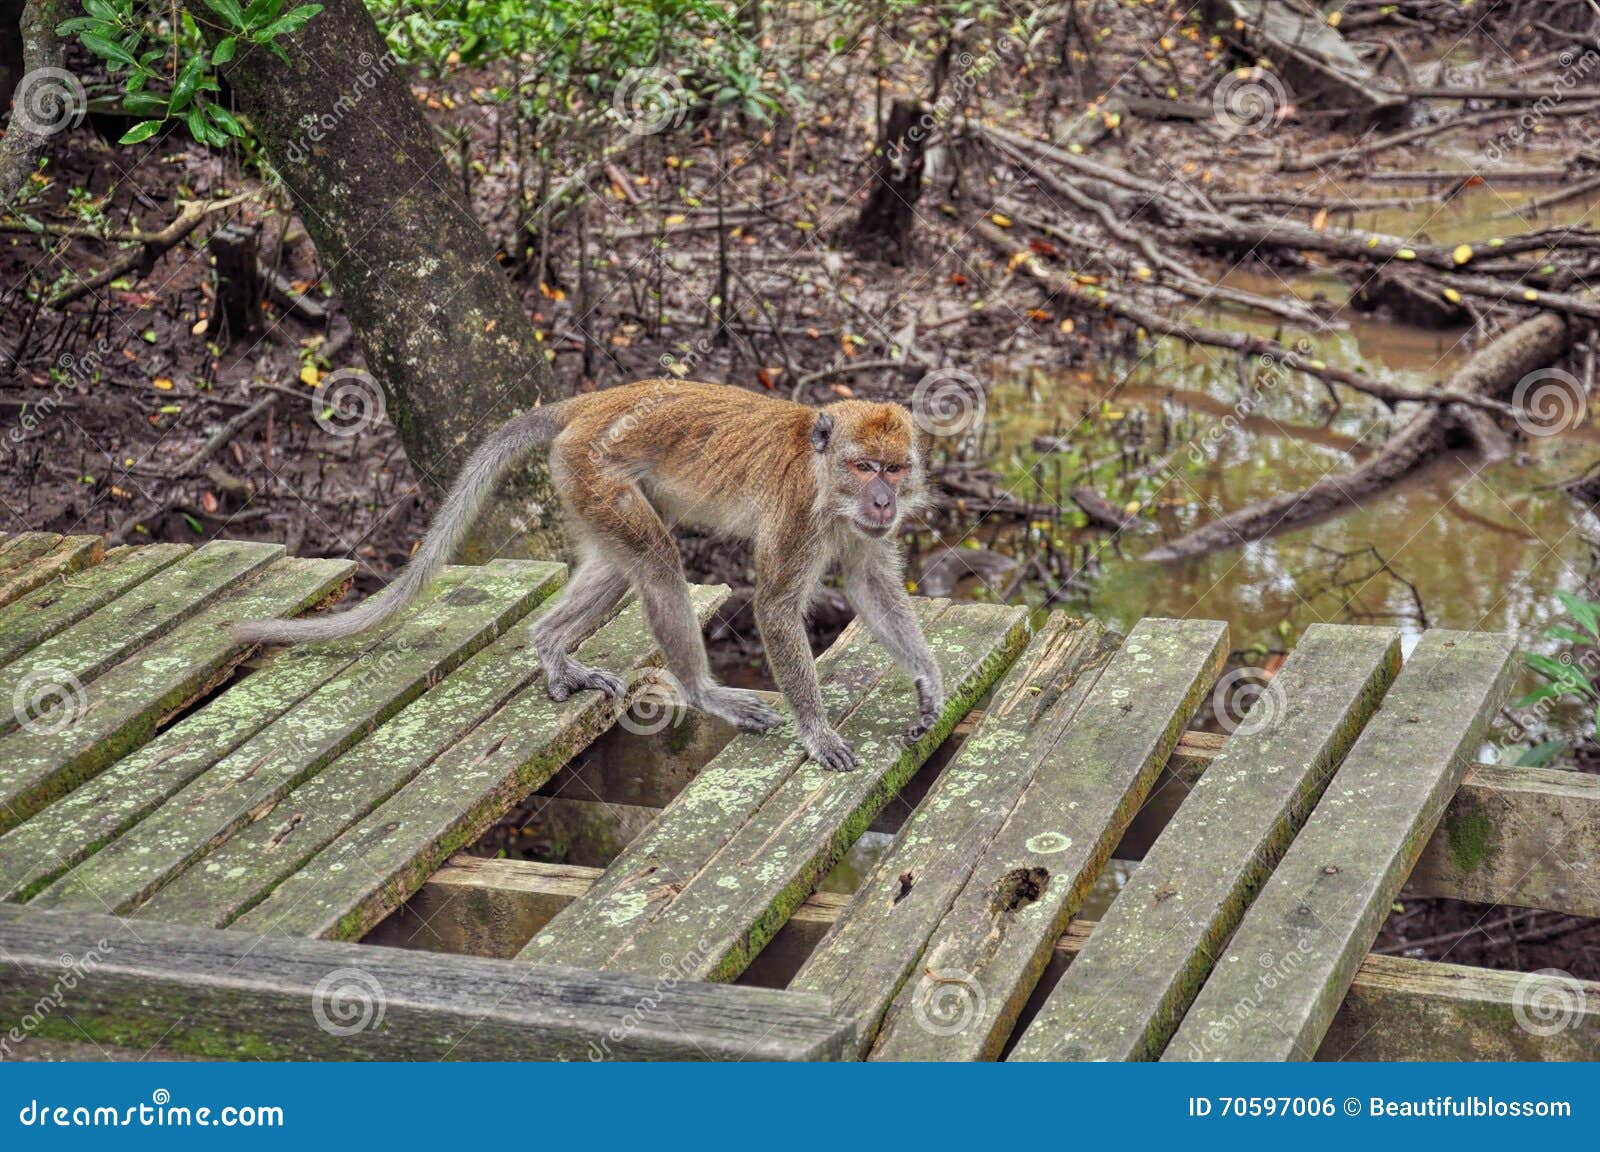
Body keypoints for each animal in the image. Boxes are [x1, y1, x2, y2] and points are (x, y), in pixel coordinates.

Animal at [235, 379, 943, 772]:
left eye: (894, 467)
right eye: (863, 466)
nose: (884, 500)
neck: (828, 483)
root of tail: (593, 402)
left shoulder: (856, 531)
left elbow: (871, 585)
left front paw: (928, 686)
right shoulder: (799, 512)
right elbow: (773, 605)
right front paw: (817, 730)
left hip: (587, 482)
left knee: (623, 566)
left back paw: (550, 646)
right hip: (592, 466)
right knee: (656, 562)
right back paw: (702, 692)